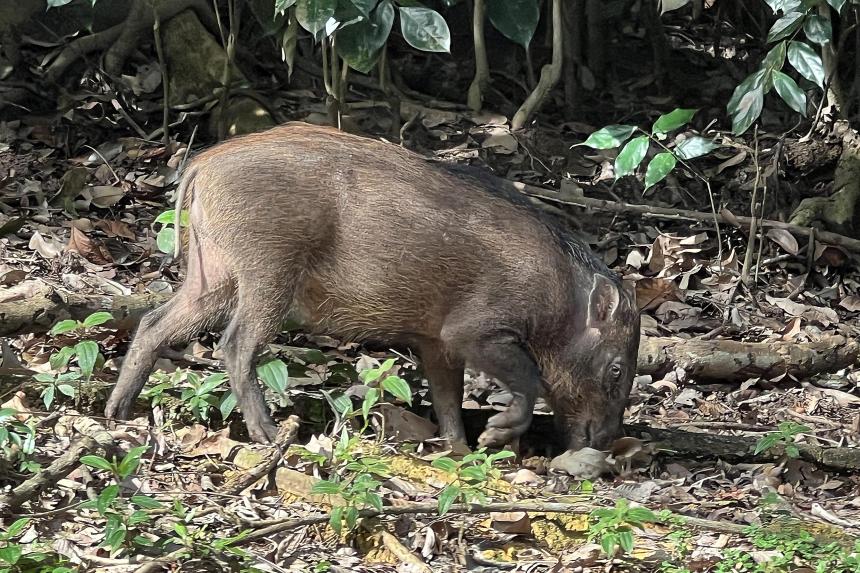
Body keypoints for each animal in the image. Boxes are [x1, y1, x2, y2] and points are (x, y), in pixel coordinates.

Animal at [104, 122, 640, 451]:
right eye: (616, 369)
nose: (608, 444)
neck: (560, 302)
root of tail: (202, 164)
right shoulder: (474, 331)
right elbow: (527, 379)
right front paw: (493, 436)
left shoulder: (435, 342)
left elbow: (448, 400)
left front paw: (459, 452)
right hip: (267, 273)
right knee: (235, 345)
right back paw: (271, 435)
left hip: (212, 275)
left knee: (153, 323)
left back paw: (118, 412)